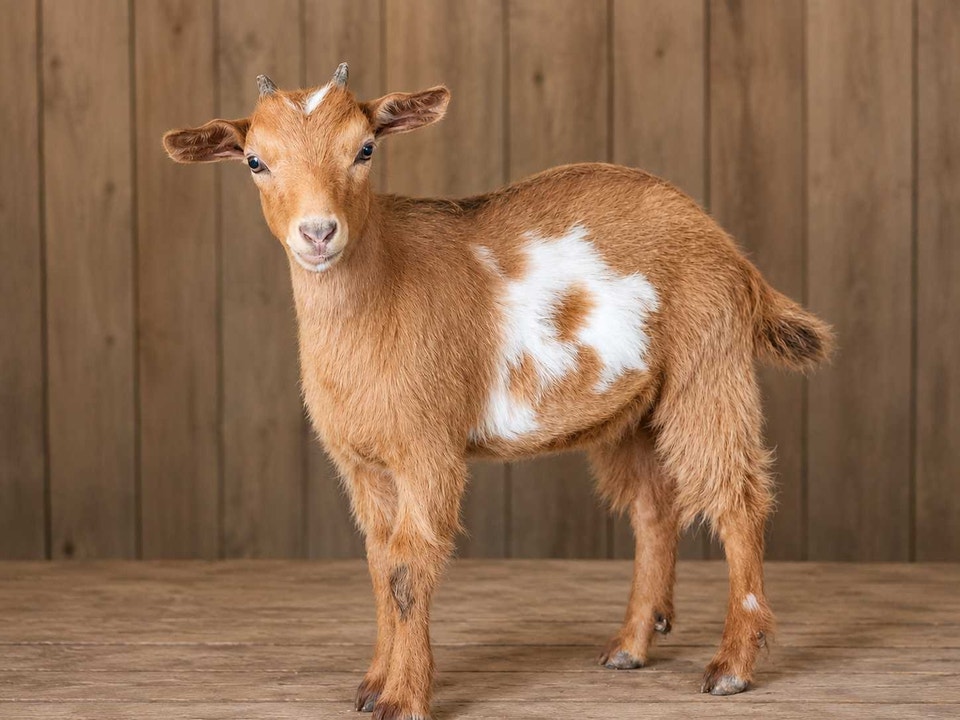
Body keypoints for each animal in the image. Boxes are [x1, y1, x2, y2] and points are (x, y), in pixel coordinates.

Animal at [164, 63, 833, 720]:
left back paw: (732, 666)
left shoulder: (427, 447)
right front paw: (372, 684)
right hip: (633, 407)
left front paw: (403, 698)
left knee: (738, 500)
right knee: (653, 509)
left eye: (364, 149)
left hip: (709, 368)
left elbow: (410, 565)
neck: (382, 288)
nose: (319, 233)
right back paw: (631, 644)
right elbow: (379, 562)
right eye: (256, 161)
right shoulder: (363, 462)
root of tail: (731, 254)